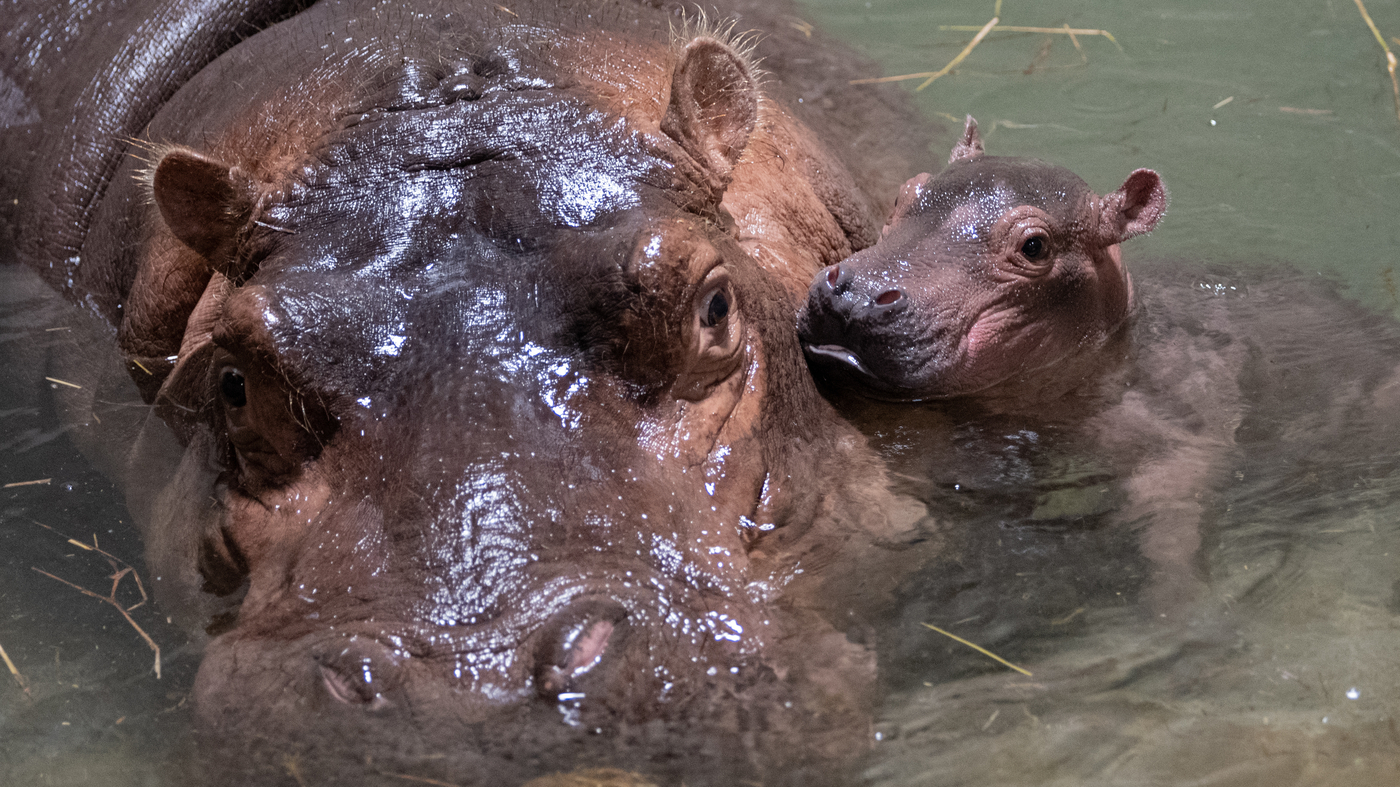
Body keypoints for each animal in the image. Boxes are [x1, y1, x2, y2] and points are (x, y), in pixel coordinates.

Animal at [799, 116, 1400, 623]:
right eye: (905, 192)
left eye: (1034, 246)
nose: (858, 293)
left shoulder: (1182, 437)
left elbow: (1172, 520)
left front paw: (1180, 610)